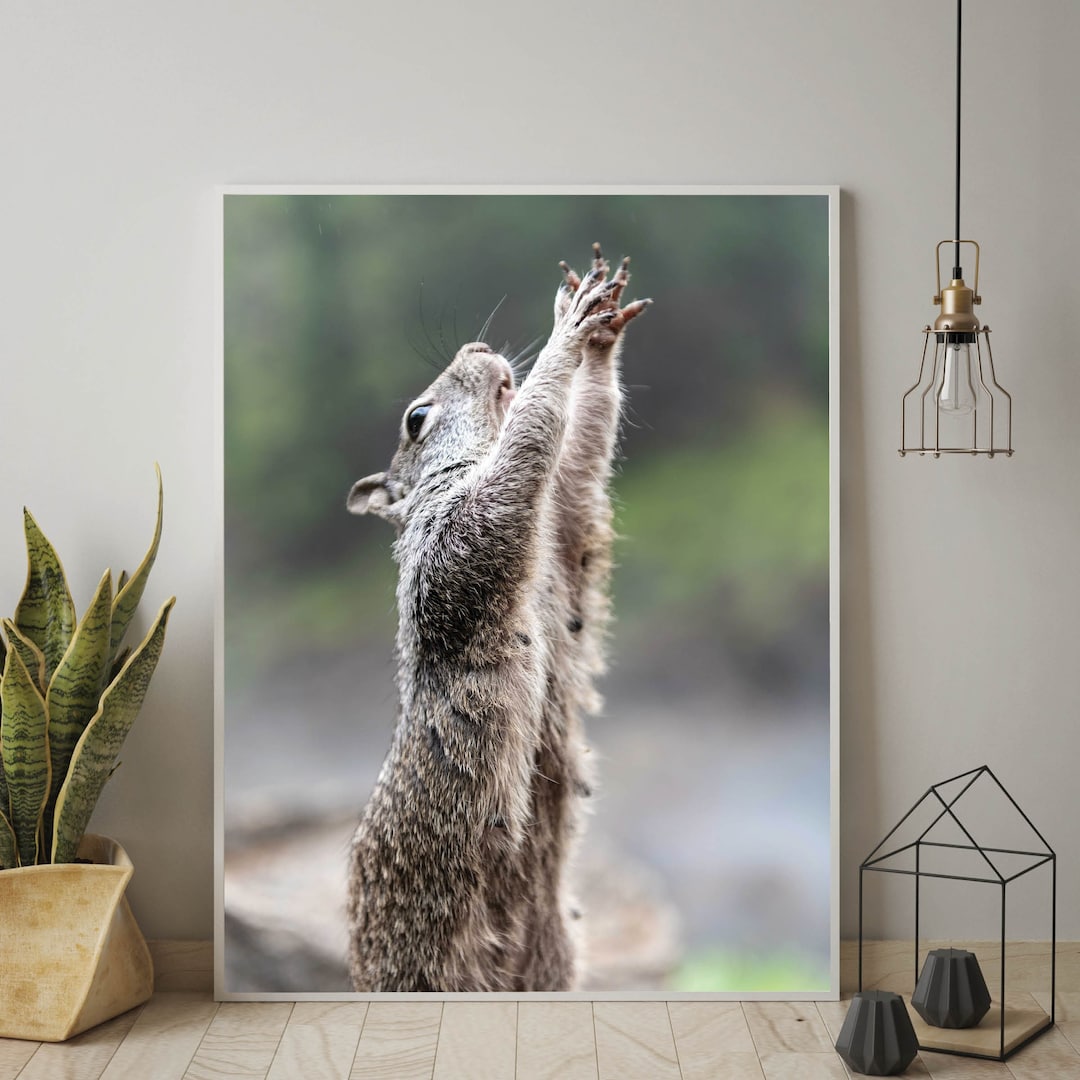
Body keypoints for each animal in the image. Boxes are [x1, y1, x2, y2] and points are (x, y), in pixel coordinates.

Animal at [344, 244, 649, 992]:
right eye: (416, 419)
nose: (477, 347)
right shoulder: (470, 529)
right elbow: (530, 439)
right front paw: (568, 333)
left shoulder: (562, 537)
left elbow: (579, 456)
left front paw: (597, 333)